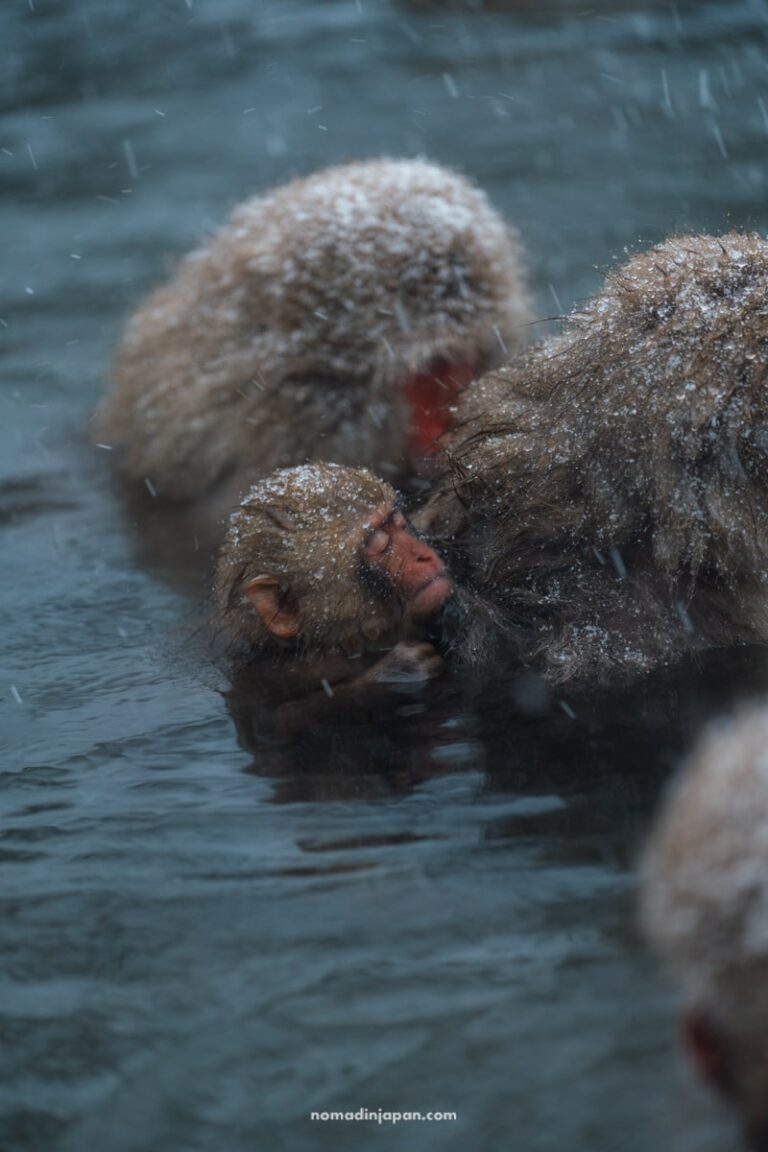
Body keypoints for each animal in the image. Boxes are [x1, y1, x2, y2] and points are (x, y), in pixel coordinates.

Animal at [213, 462, 453, 723]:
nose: (424, 555)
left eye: (398, 524)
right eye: (380, 544)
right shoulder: (262, 678)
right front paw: (399, 671)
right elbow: (284, 718)